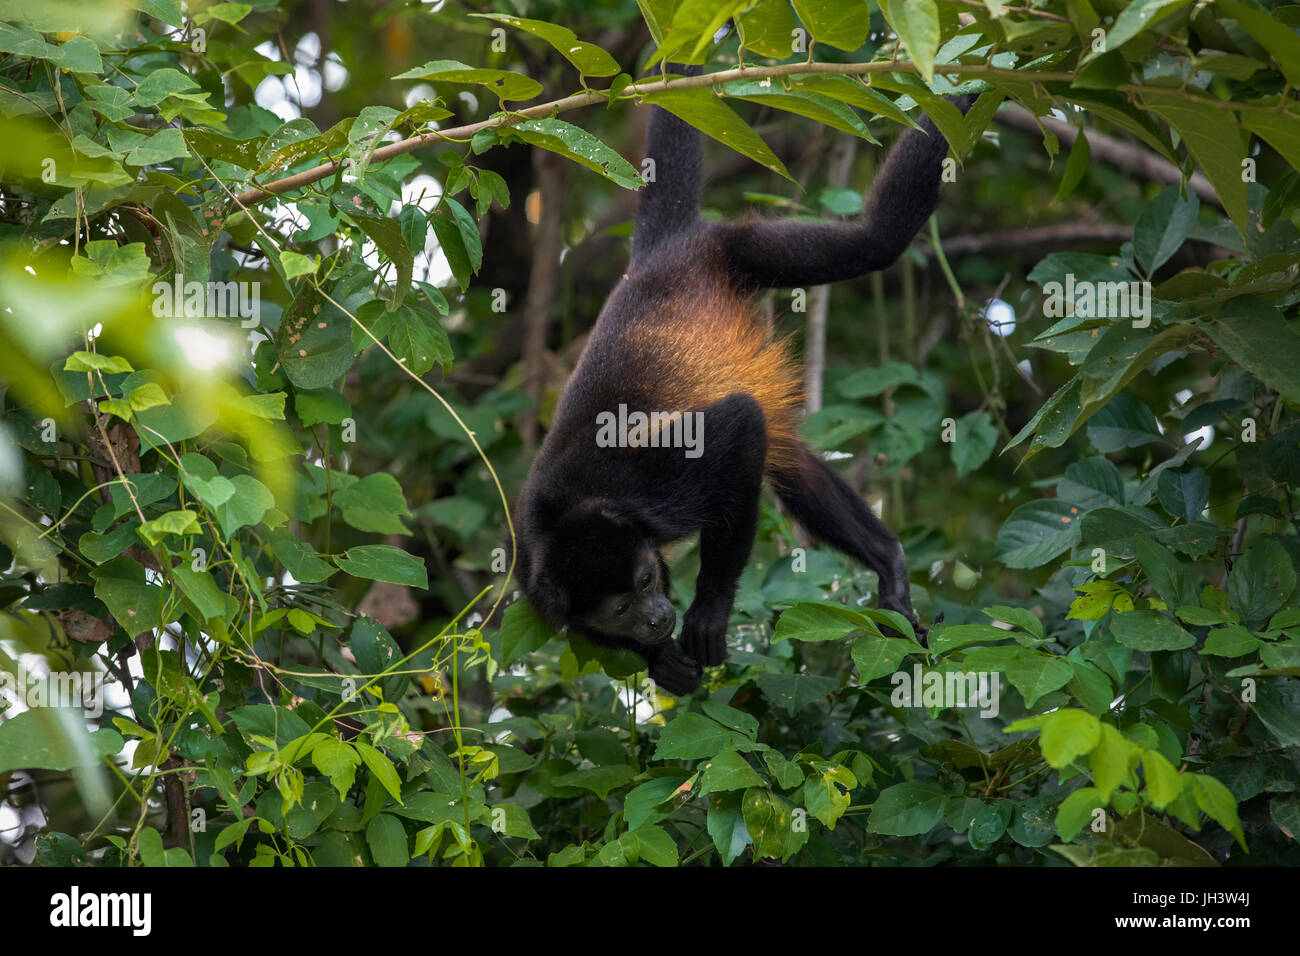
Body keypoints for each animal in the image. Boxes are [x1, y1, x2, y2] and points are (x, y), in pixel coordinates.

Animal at [514, 65, 972, 696]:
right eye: (621, 609)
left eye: (642, 584)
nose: (655, 619)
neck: (575, 510)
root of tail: (657, 254)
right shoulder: (532, 578)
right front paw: (659, 660)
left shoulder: (652, 485)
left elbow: (738, 424)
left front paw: (708, 612)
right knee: (789, 461)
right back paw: (889, 558)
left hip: (735, 247)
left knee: (875, 243)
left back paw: (961, 95)